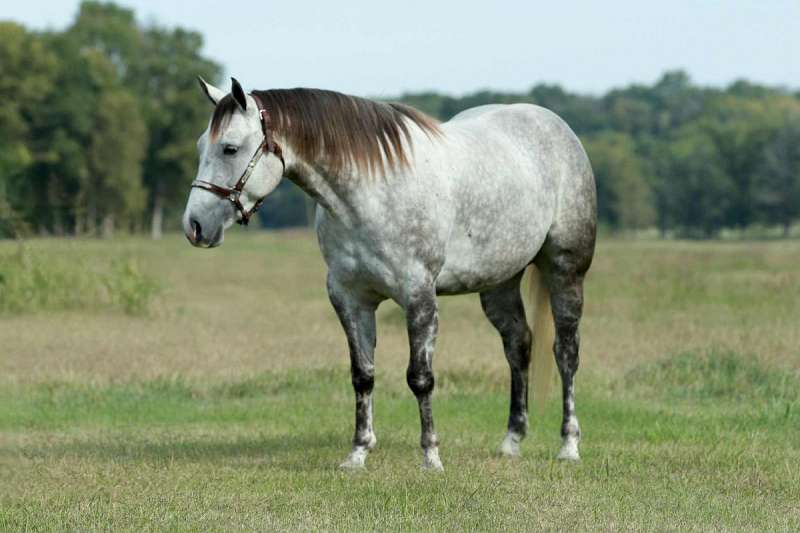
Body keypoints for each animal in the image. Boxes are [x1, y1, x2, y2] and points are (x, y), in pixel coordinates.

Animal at [182, 77, 596, 470]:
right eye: (202, 145)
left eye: (230, 148)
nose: (194, 226)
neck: (370, 194)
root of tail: (555, 126)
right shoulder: (350, 299)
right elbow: (362, 375)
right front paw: (358, 453)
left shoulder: (419, 297)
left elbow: (420, 378)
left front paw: (431, 456)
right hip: (498, 283)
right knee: (518, 345)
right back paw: (511, 441)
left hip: (565, 271)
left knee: (566, 353)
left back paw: (569, 446)